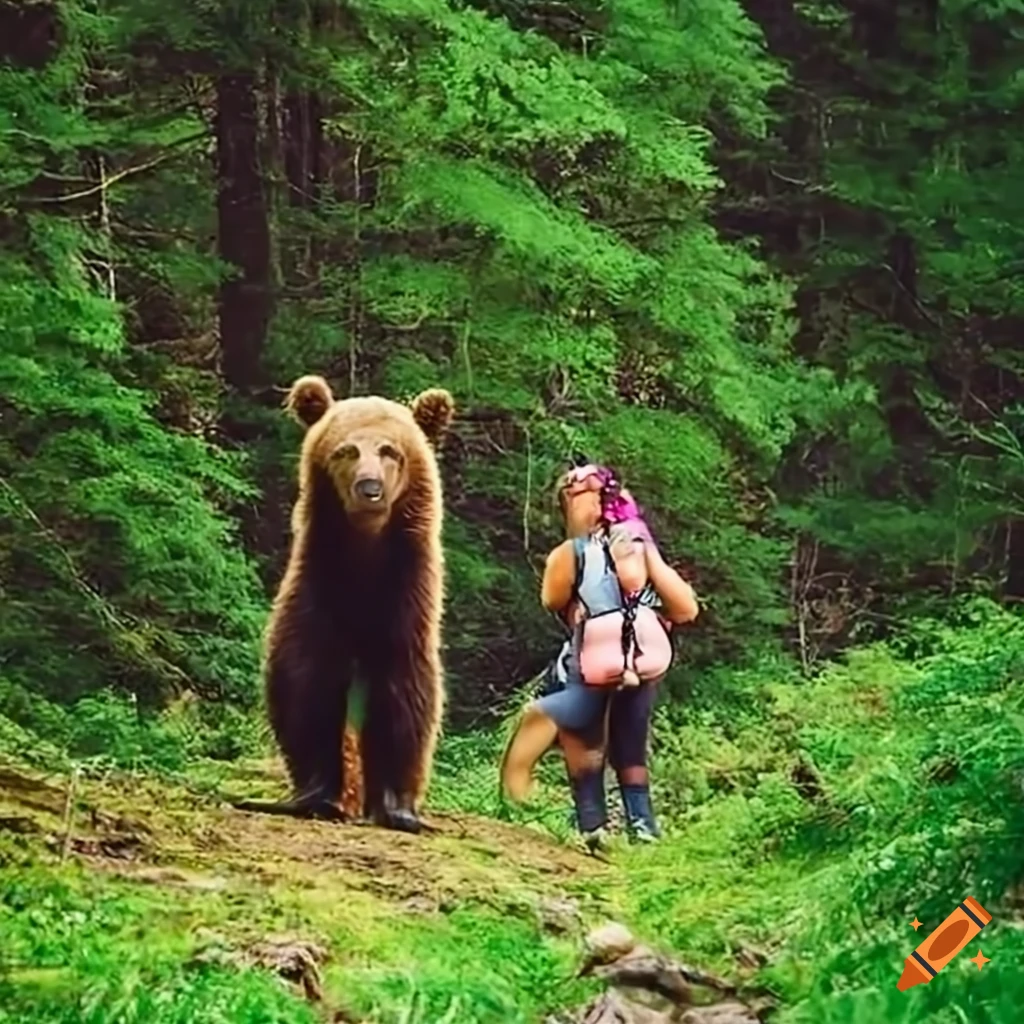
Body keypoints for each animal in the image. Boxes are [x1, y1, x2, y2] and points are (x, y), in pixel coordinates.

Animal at [236, 375, 454, 834]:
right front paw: (316, 797)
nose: (369, 489)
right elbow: (306, 681)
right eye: (345, 450)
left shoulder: (405, 599)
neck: (364, 558)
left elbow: (406, 690)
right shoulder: (319, 588)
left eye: (390, 451)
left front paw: (399, 809)